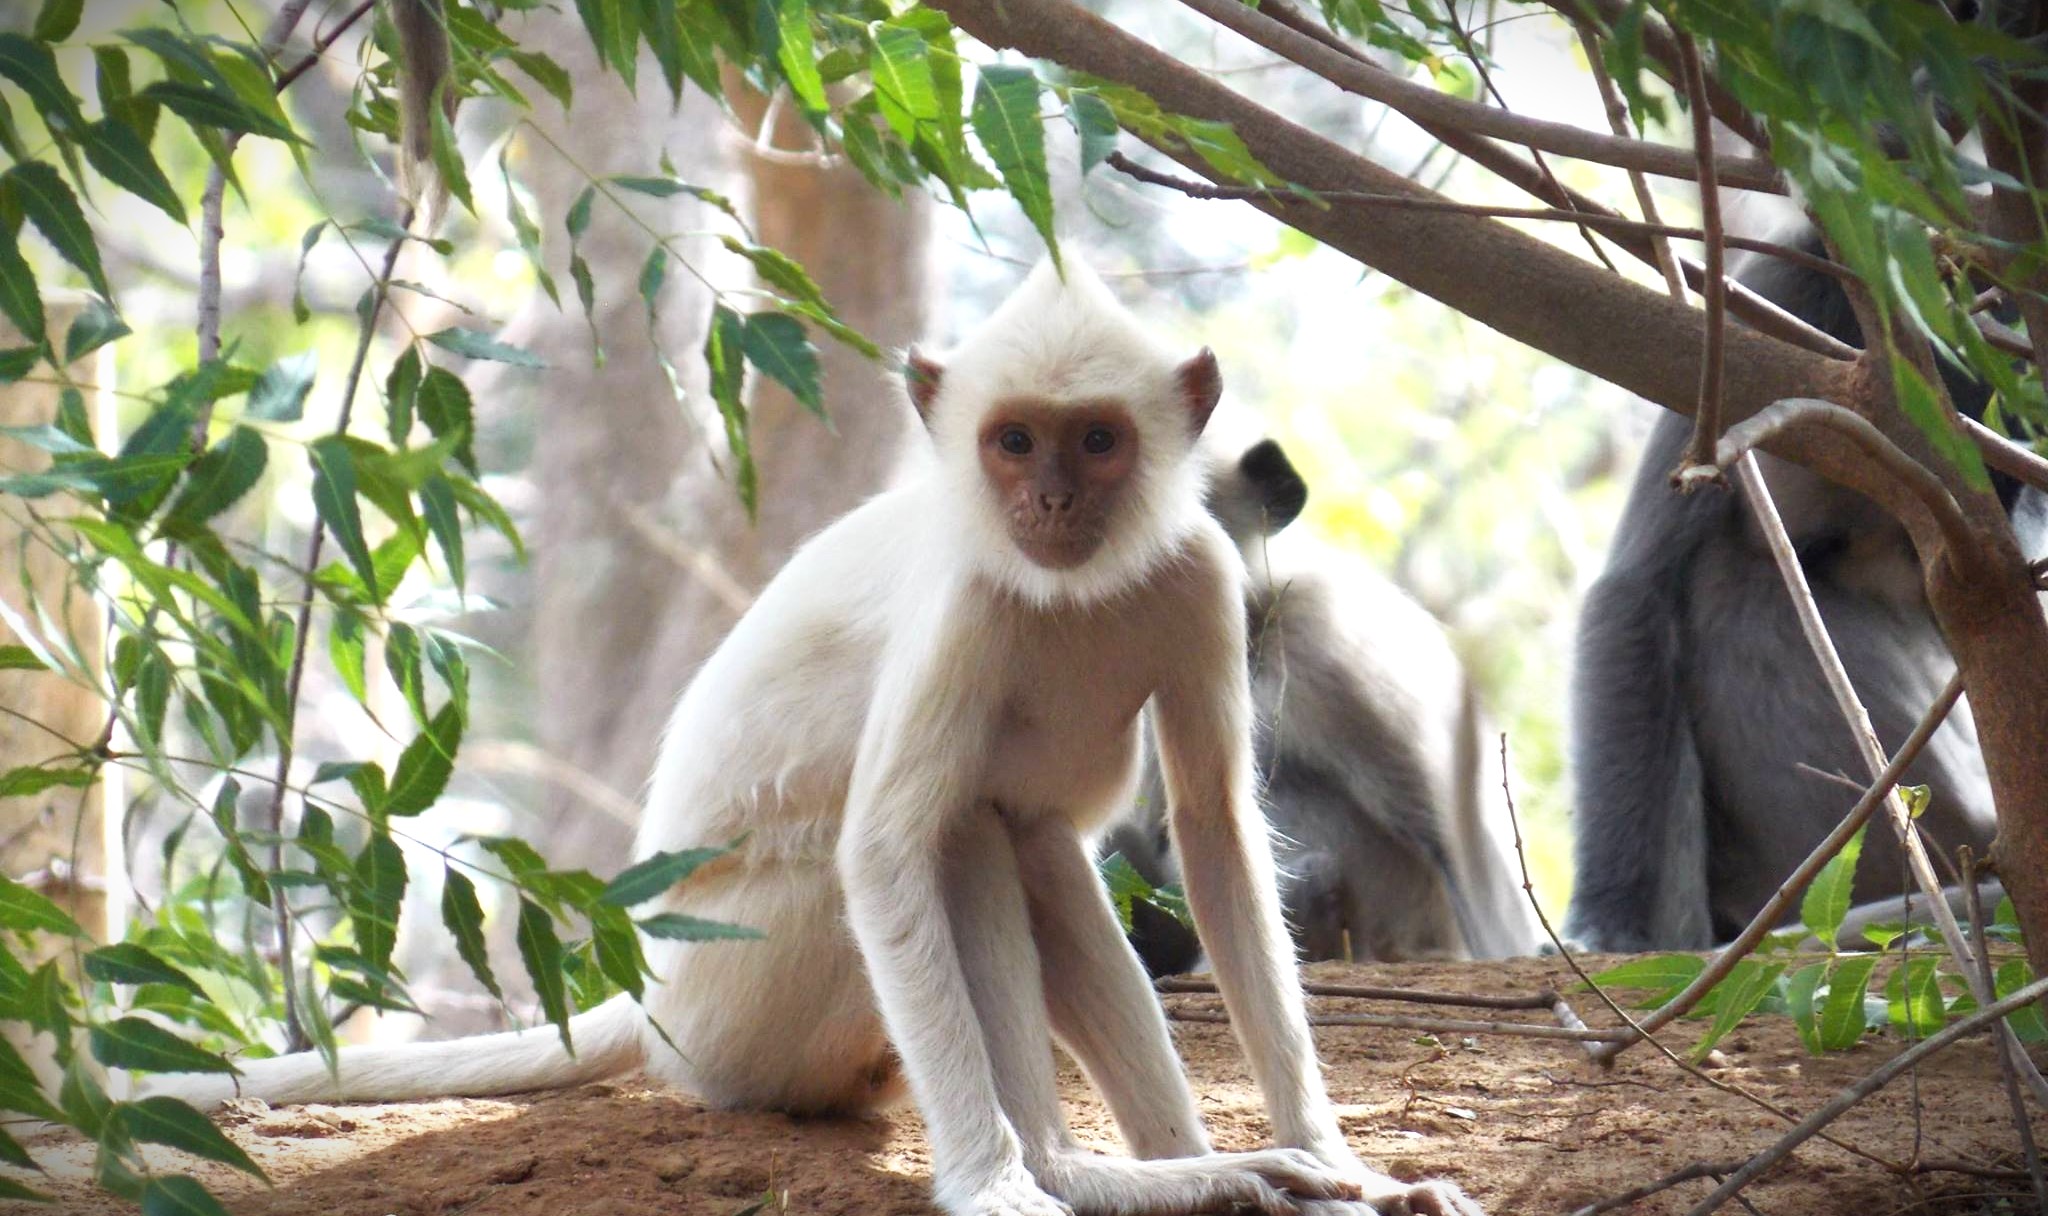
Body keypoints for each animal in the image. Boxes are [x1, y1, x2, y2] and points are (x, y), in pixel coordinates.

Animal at [147, 263, 1483, 1216]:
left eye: (1096, 440)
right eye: (1014, 441)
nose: (1050, 499)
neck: (1071, 589)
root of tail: (649, 1001)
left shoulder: (1201, 580)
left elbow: (1211, 829)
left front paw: (1333, 1156)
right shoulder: (965, 605)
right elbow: (888, 852)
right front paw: (994, 1187)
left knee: (1028, 838)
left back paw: (1194, 1165)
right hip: (743, 999)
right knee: (966, 834)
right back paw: (1074, 1172)